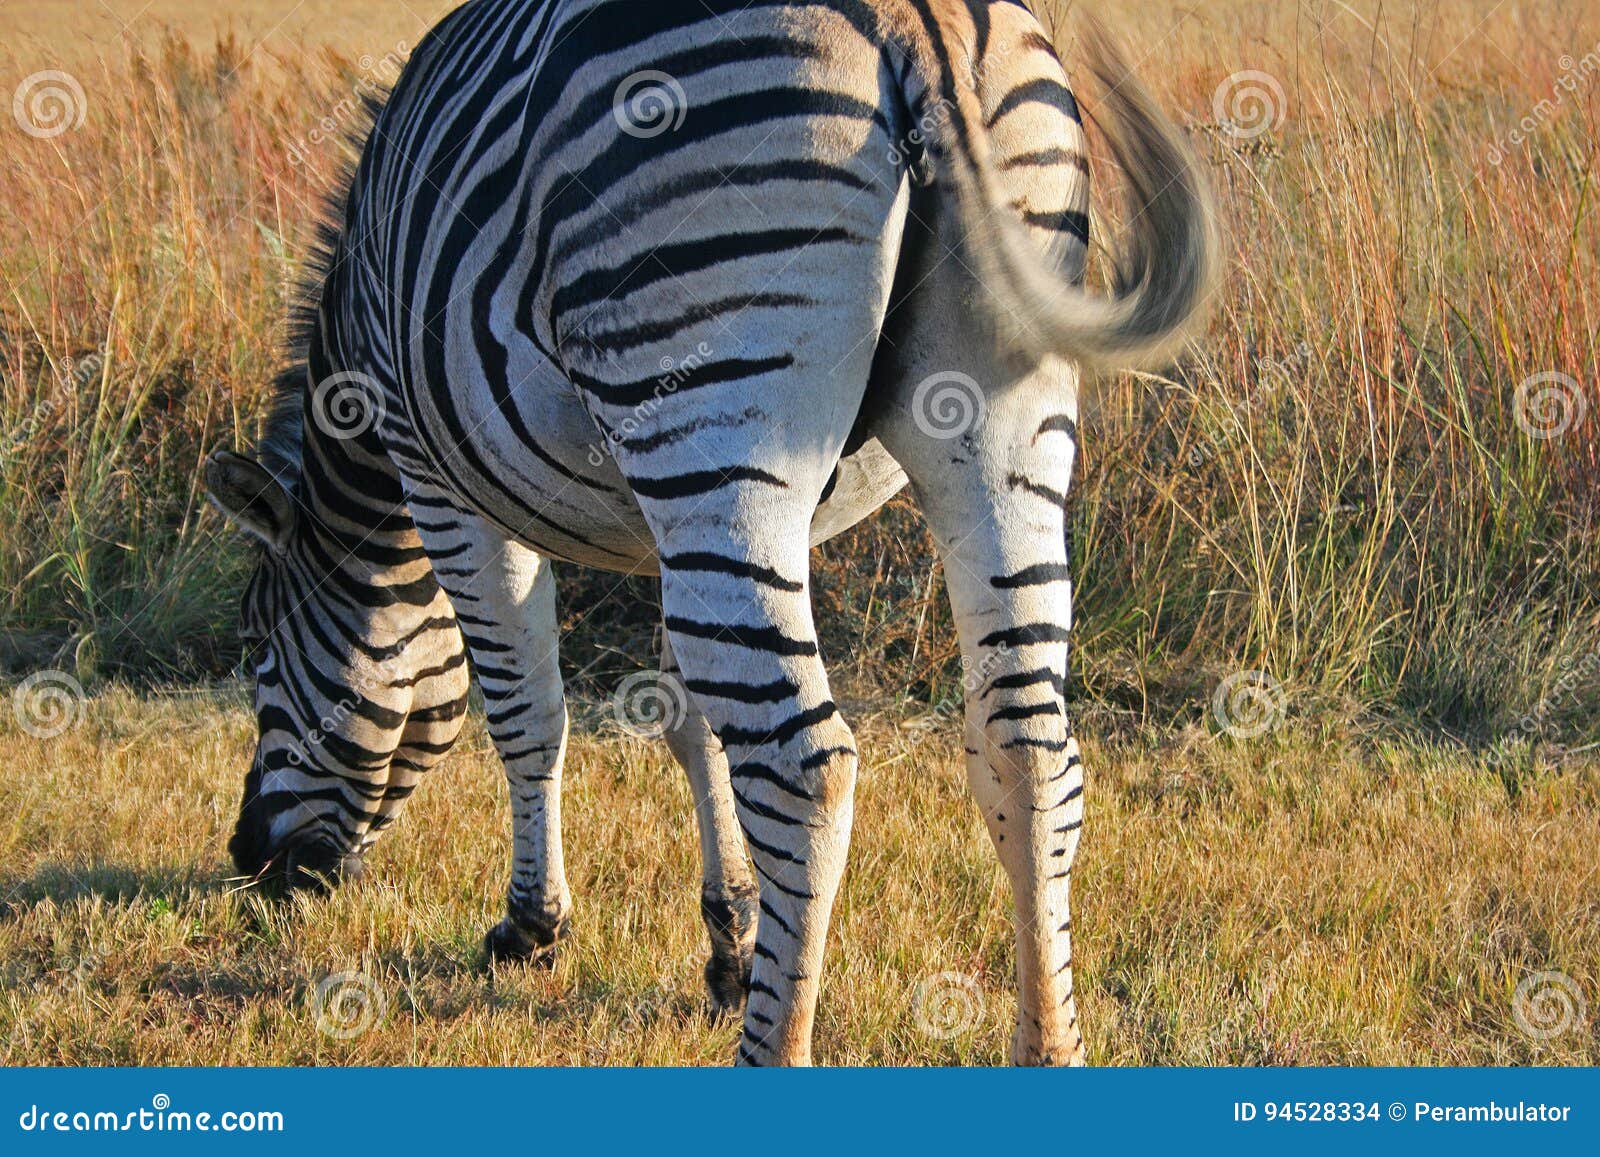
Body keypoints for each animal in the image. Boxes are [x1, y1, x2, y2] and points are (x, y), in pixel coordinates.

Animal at [205, 0, 1216, 1065]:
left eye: (258, 650)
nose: (250, 861)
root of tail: (914, 24)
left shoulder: (441, 475)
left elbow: (527, 710)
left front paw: (532, 926)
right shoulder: (672, 522)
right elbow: (692, 723)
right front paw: (732, 937)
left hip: (711, 397)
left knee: (808, 769)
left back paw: (774, 1047)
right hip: (996, 424)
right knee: (1026, 743)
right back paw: (1045, 1042)